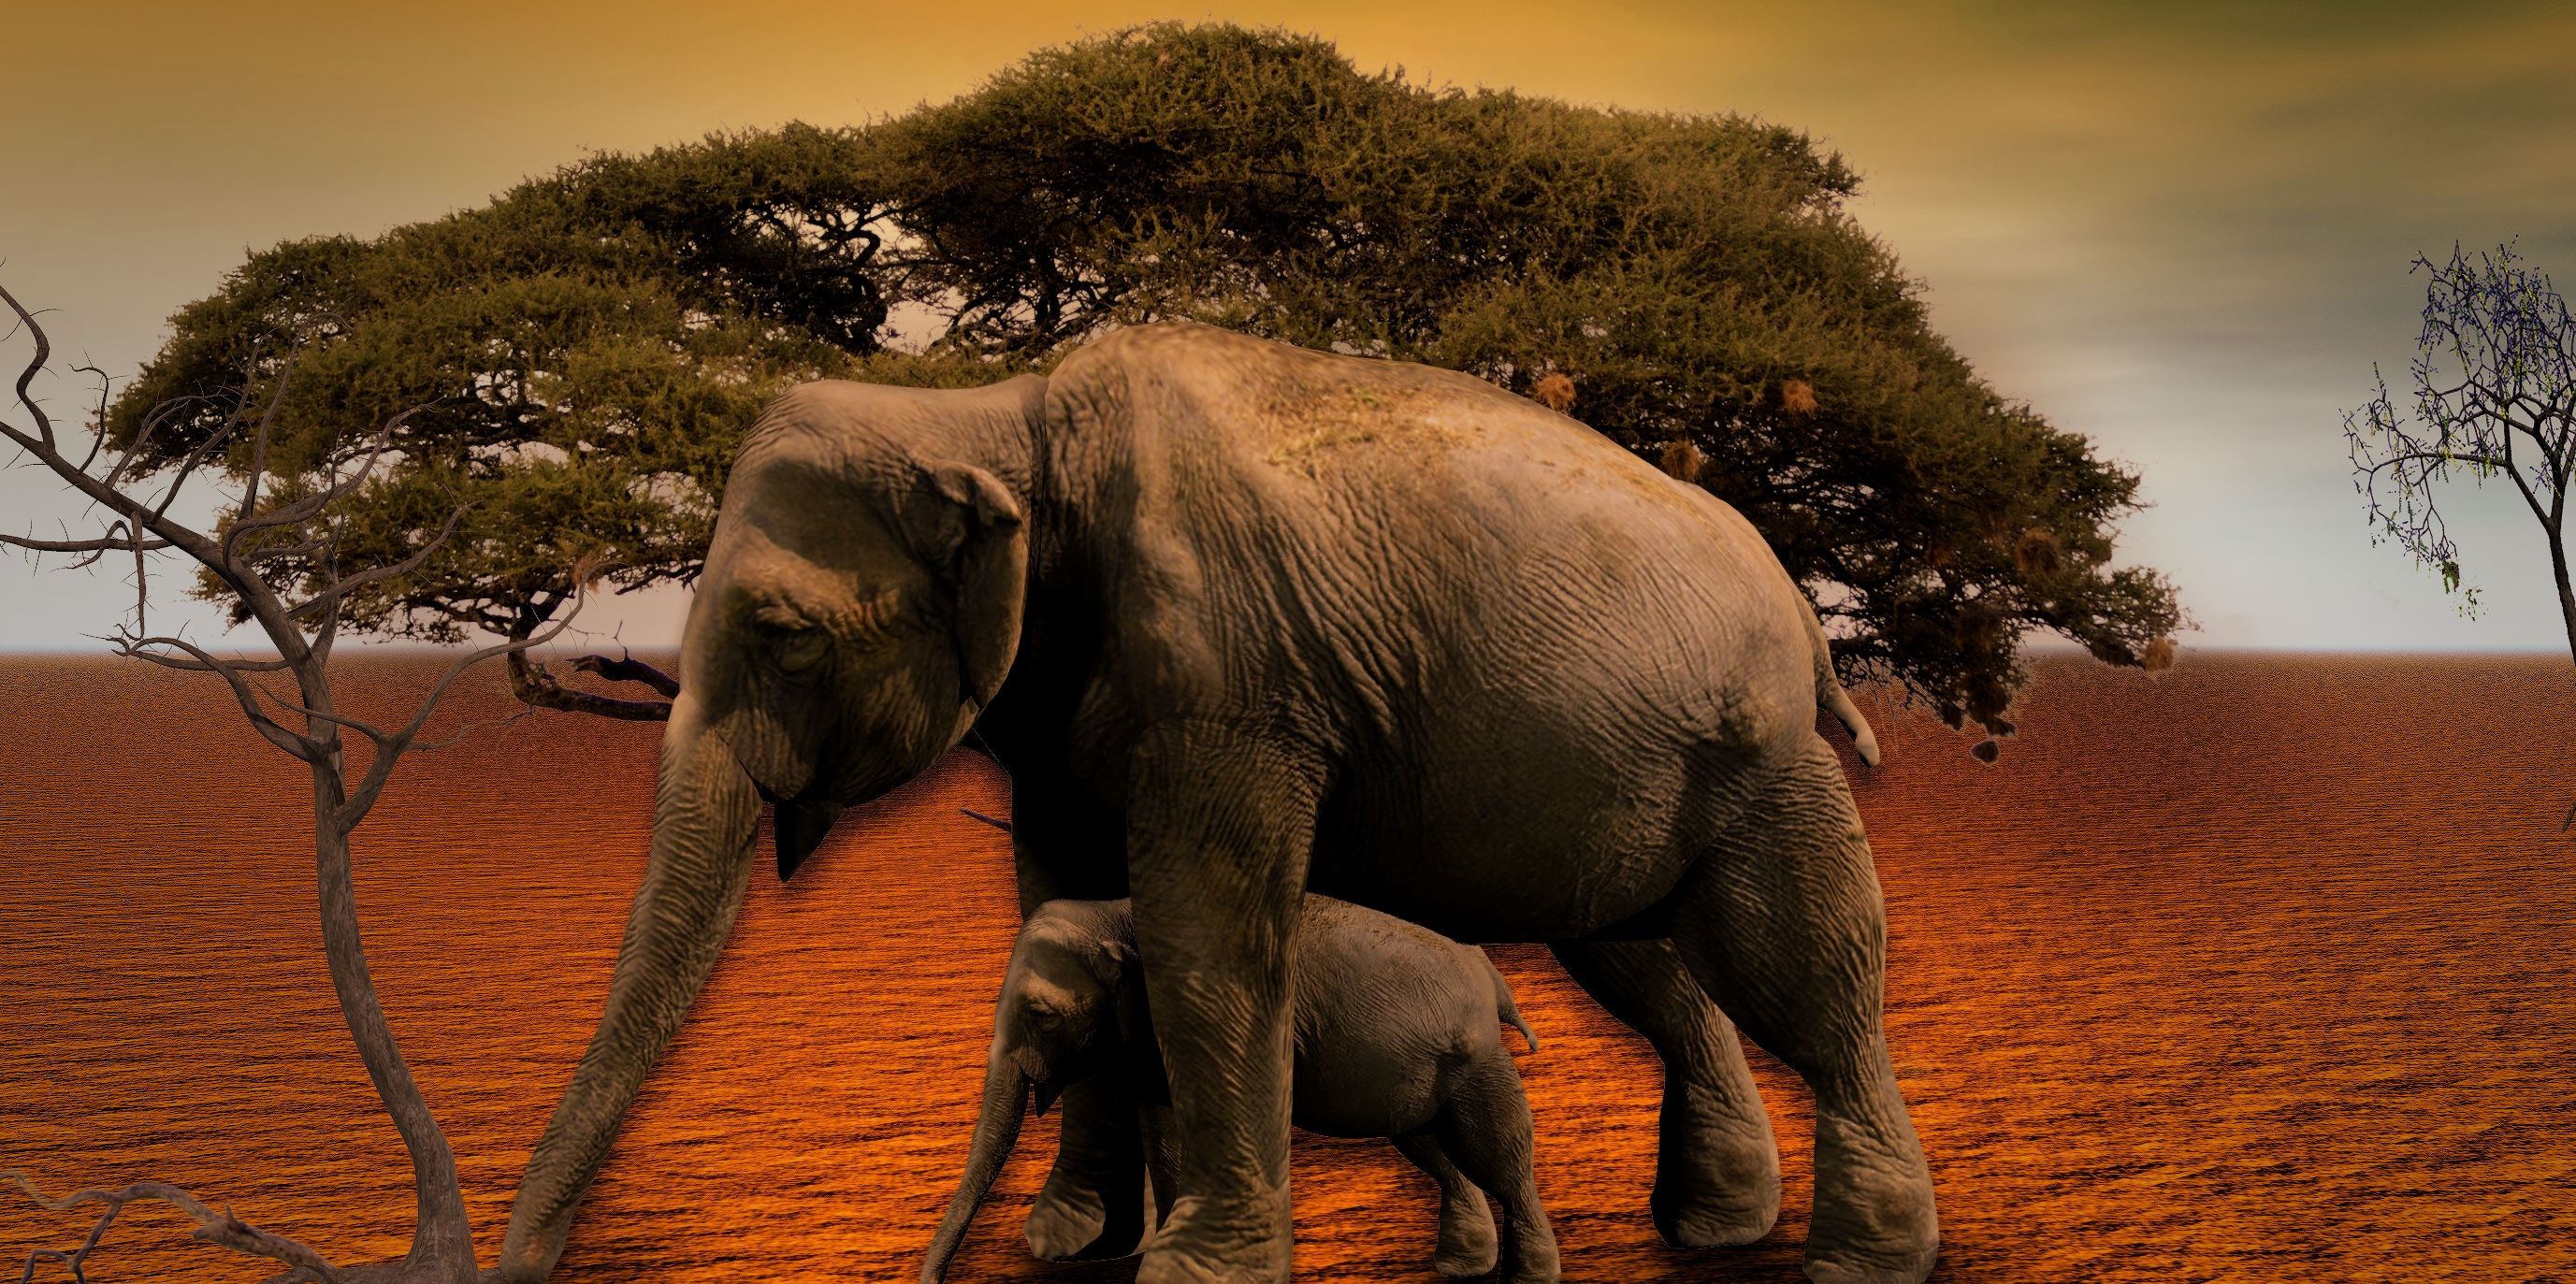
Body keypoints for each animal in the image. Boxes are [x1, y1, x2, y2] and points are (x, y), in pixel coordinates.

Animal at [922, 894, 1556, 1284]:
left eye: (1042, 1015)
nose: (936, 1280)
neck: (1113, 910)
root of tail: (1495, 978)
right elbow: (1161, 1131)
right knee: (1431, 1148)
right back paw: (1460, 1267)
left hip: (1477, 1059)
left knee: (1499, 1160)